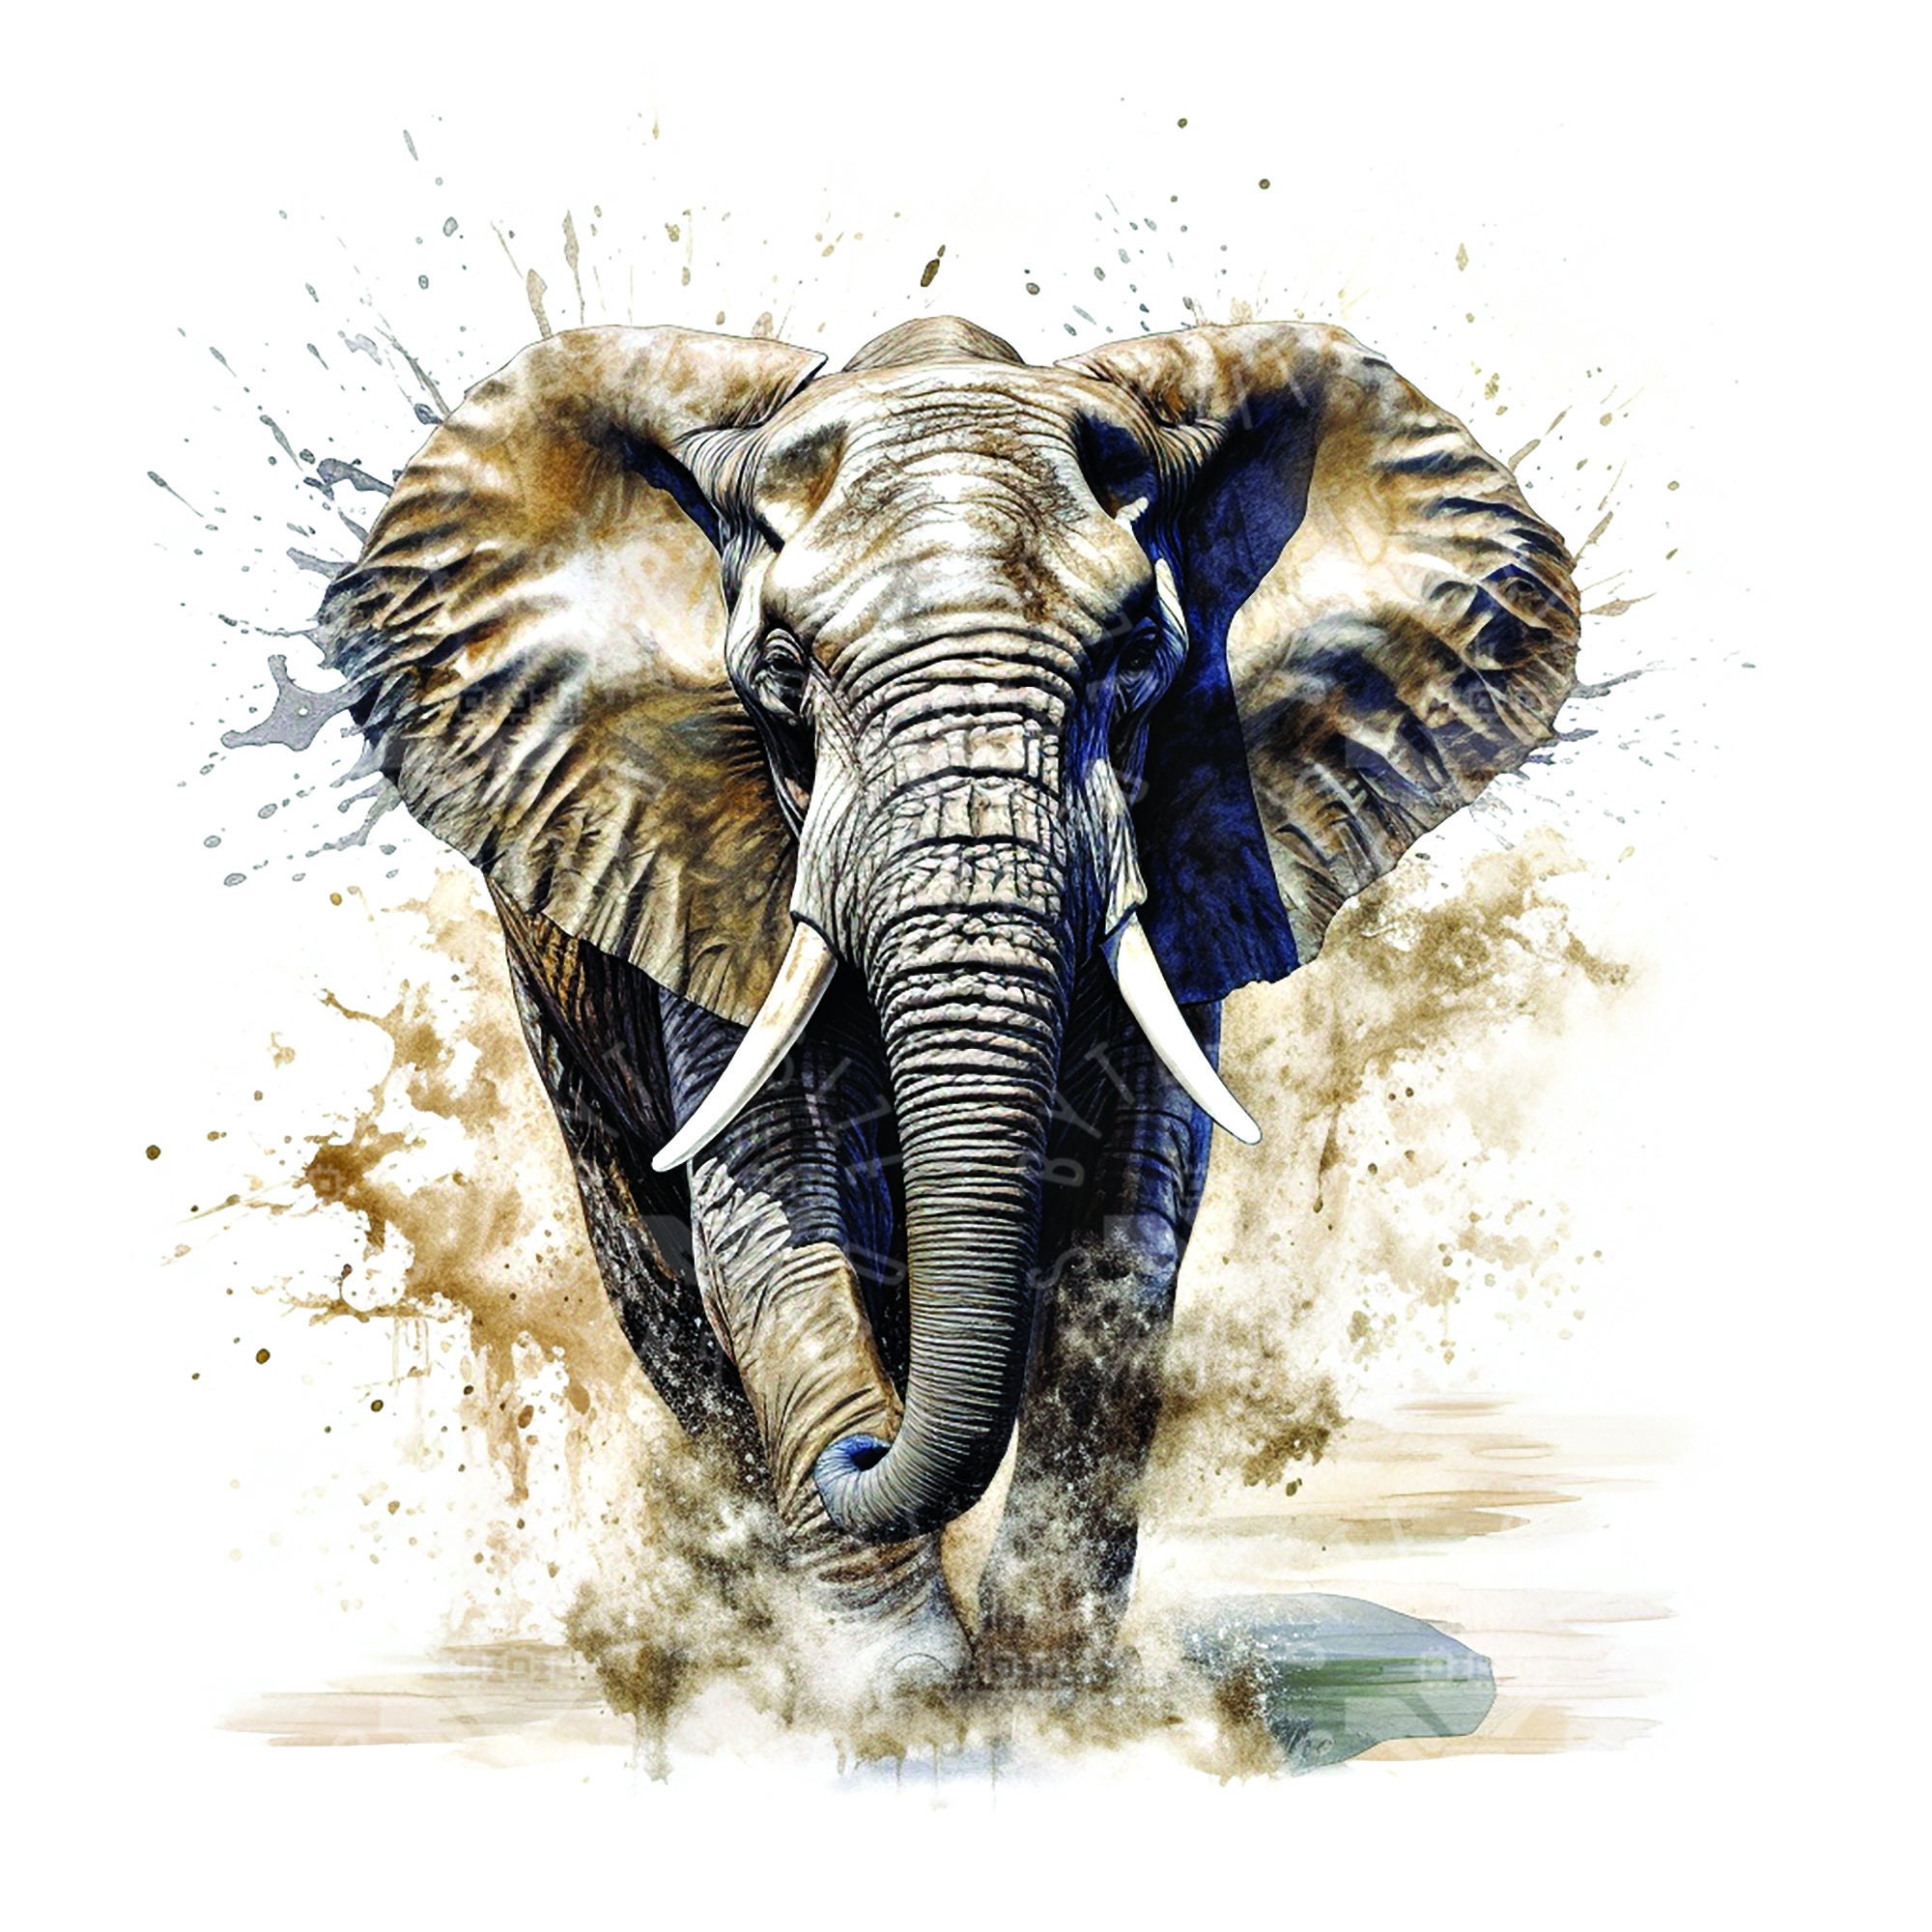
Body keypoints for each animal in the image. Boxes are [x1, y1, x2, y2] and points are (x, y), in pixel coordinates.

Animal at [317, 312, 1580, 1702]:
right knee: (662, 1283)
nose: (861, 1457)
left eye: (1139, 662)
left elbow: (1126, 1227)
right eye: (781, 675)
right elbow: (776, 1221)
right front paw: (900, 1697)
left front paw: (1044, 1693)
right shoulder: (707, 853)